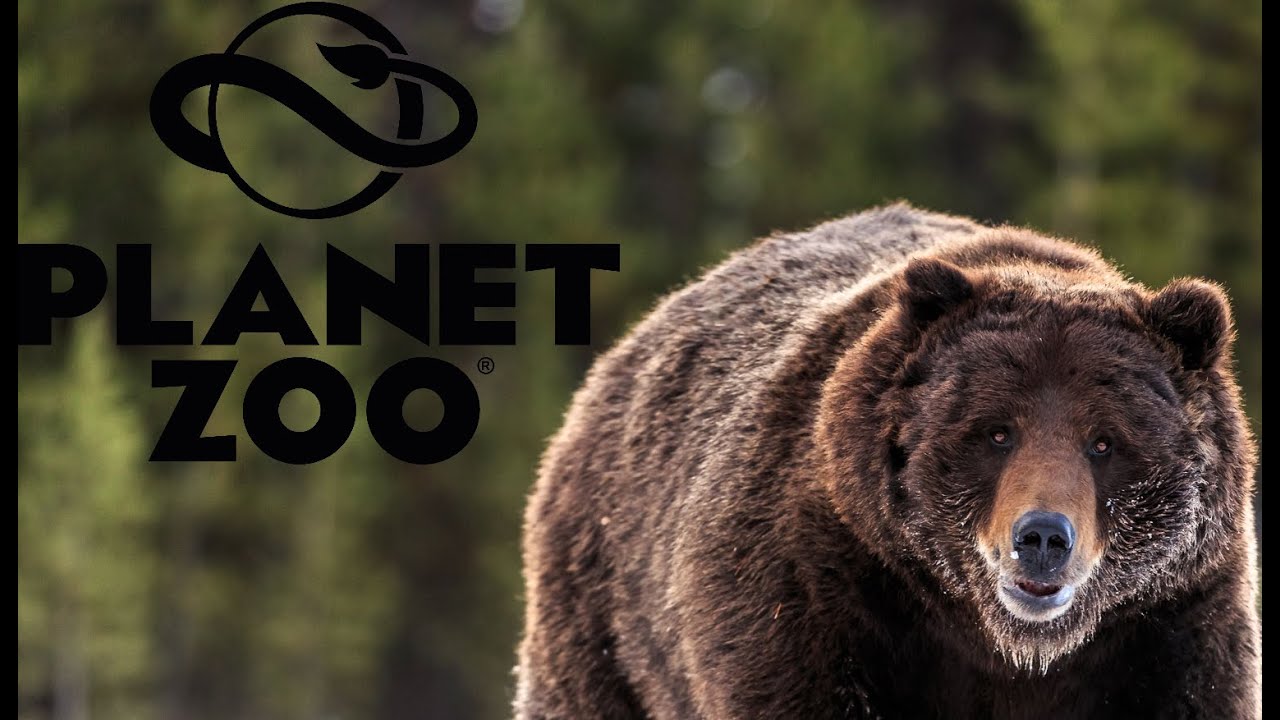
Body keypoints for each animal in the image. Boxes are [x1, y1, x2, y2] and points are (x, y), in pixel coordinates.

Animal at [514, 204, 1260, 719]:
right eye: (996, 432)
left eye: (1104, 441)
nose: (1043, 537)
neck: (1005, 646)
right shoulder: (818, 588)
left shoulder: (1166, 627)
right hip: (606, 616)